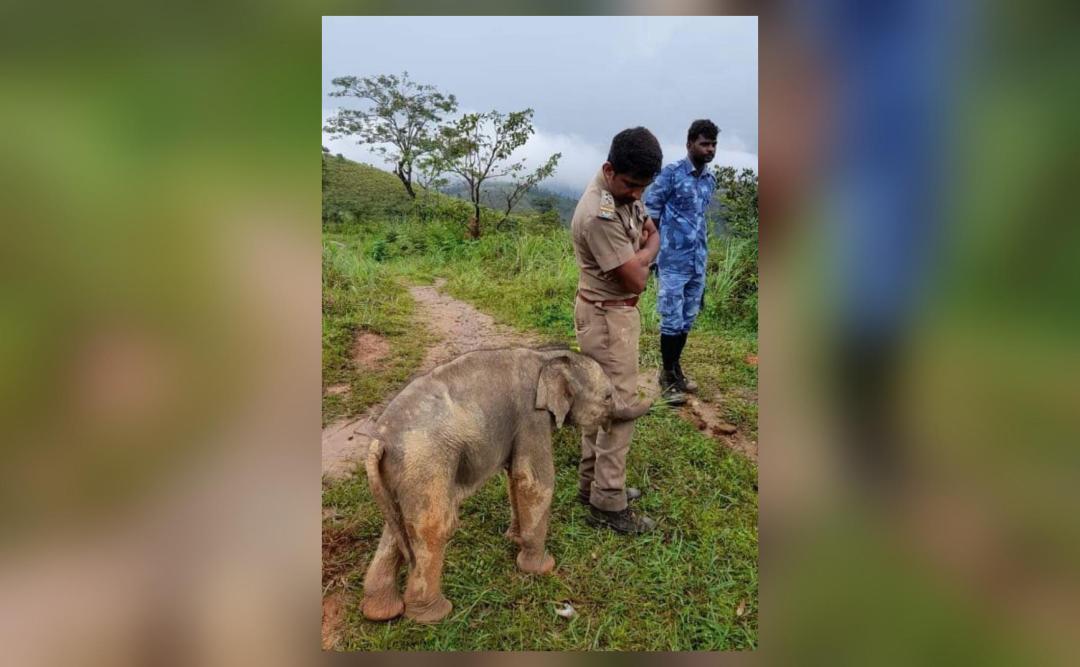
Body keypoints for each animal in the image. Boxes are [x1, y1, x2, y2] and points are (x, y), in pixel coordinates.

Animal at [359, 346, 653, 624]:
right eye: (607, 397)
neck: (546, 356)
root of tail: (380, 441)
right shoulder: (531, 415)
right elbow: (534, 480)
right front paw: (542, 568)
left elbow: (515, 477)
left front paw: (514, 538)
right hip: (426, 464)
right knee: (434, 526)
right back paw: (435, 615)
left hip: (402, 476)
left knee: (399, 528)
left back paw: (381, 613)